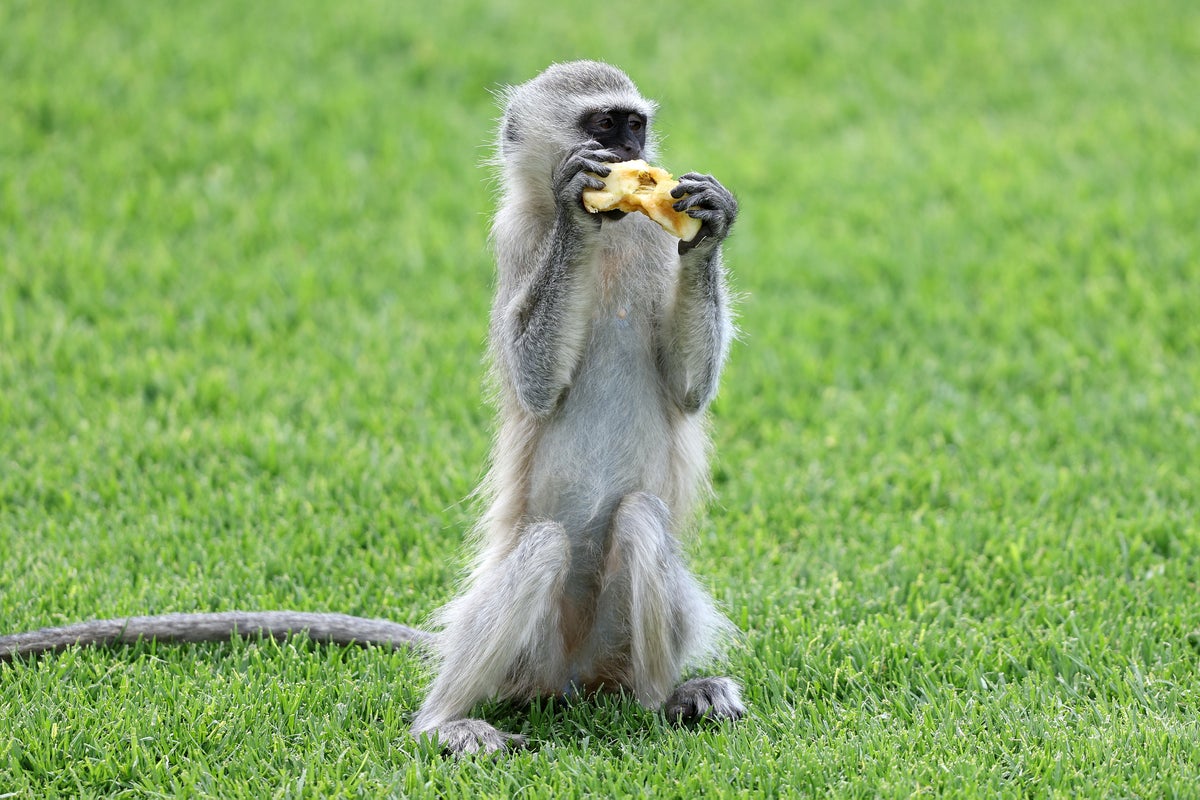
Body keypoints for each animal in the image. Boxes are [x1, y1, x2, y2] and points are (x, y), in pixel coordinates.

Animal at [0, 60, 743, 757]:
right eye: (603, 126)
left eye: (635, 126)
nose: (631, 152)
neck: (613, 238)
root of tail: (571, 680)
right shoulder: (513, 240)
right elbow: (537, 384)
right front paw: (572, 206)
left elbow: (688, 388)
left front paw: (708, 223)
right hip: (529, 656)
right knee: (542, 547)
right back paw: (443, 722)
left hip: (613, 649)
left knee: (641, 522)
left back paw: (662, 699)